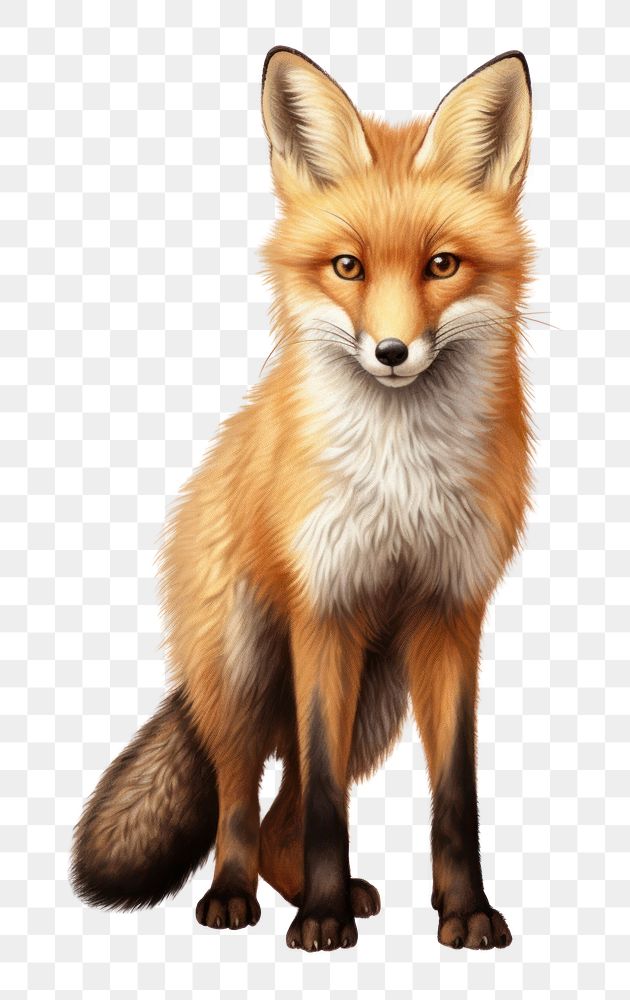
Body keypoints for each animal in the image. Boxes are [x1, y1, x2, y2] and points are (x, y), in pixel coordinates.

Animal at [71, 46, 534, 952]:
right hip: (246, 676)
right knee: (241, 802)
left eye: (442, 264)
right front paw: (320, 921)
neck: (400, 478)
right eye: (348, 266)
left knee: (280, 823)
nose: (391, 351)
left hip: (381, 702)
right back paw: (237, 896)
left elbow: (454, 796)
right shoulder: (323, 610)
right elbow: (322, 798)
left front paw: (464, 911)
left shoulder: (452, 615)